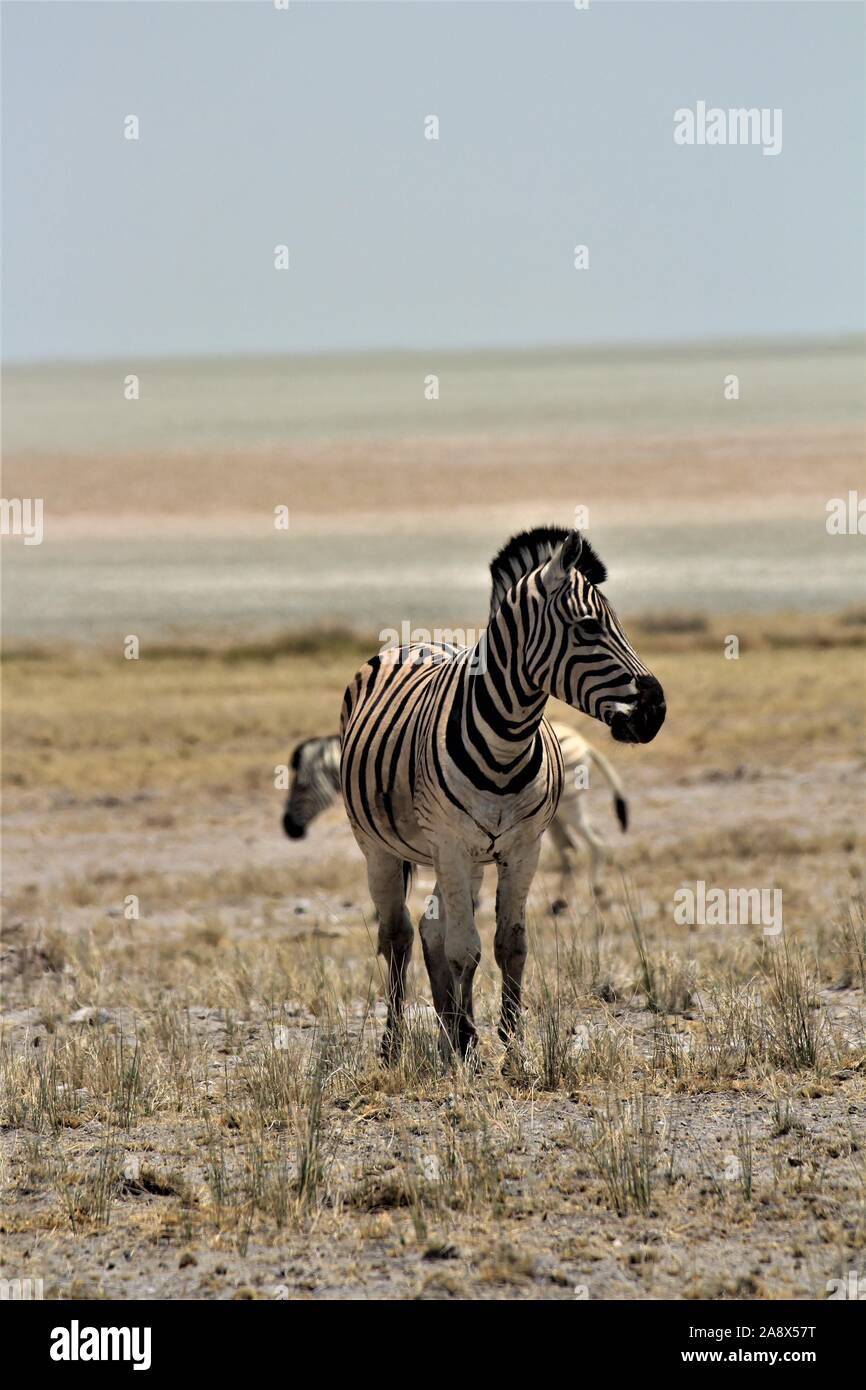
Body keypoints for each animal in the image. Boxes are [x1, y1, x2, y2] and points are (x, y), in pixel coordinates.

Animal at [282, 725, 630, 905]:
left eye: (301, 786)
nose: (289, 829)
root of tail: (583, 739)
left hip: (569, 806)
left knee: (596, 843)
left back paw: (599, 894)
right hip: (554, 817)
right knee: (570, 849)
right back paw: (560, 904)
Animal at [338, 526, 665, 1063]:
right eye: (588, 627)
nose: (656, 711)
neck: (506, 742)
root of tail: (412, 643)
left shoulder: (522, 847)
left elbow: (507, 944)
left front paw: (510, 1048)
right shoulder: (451, 845)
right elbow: (464, 948)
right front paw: (470, 1041)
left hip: (467, 858)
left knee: (431, 929)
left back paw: (449, 1030)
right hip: (381, 849)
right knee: (398, 935)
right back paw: (394, 1044)